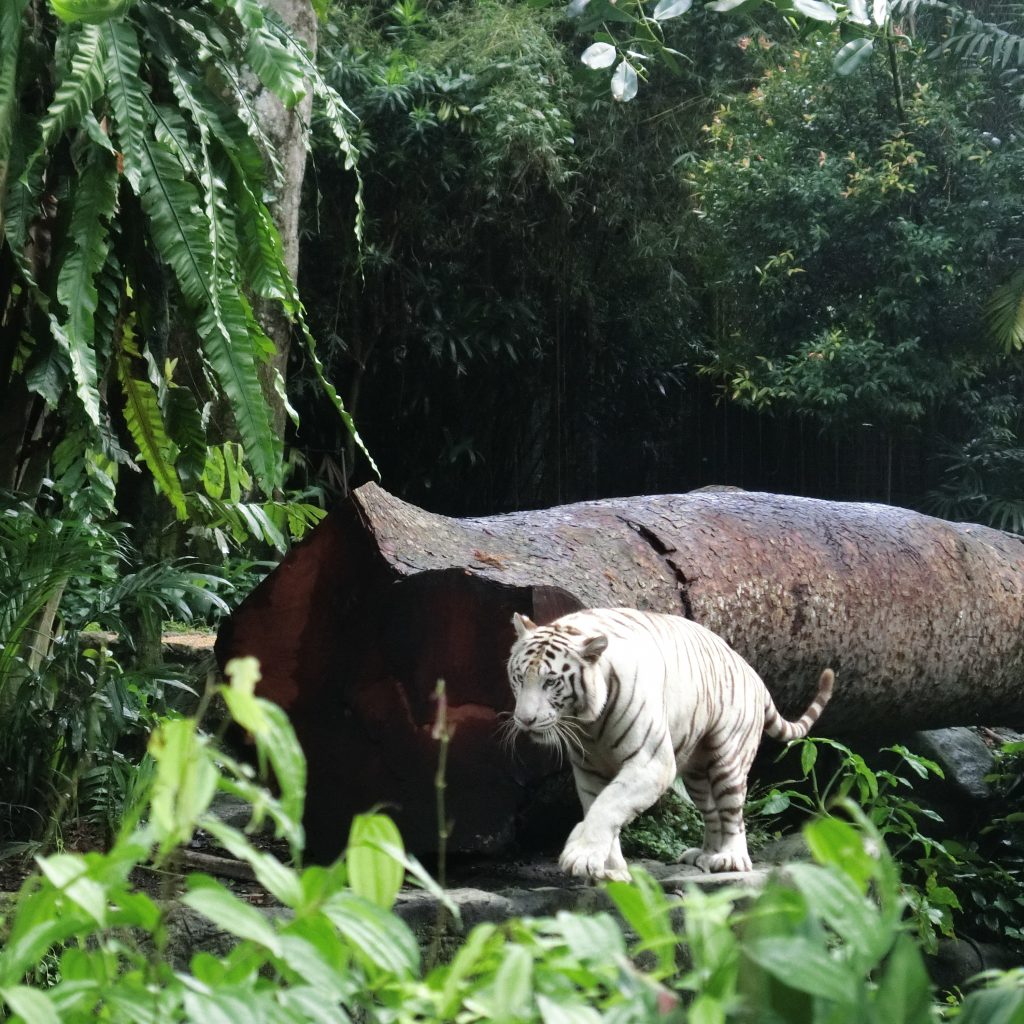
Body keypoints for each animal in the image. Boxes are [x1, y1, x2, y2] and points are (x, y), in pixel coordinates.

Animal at [506, 608, 834, 881]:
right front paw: (610, 871)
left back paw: (730, 858)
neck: (588, 724)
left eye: (551, 682)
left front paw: (582, 857)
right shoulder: (589, 771)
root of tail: (755, 676)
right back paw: (707, 855)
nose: (525, 719)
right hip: (696, 774)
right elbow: (599, 808)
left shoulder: (652, 763)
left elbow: (608, 806)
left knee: (733, 814)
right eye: (520, 678)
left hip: (728, 758)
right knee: (712, 813)